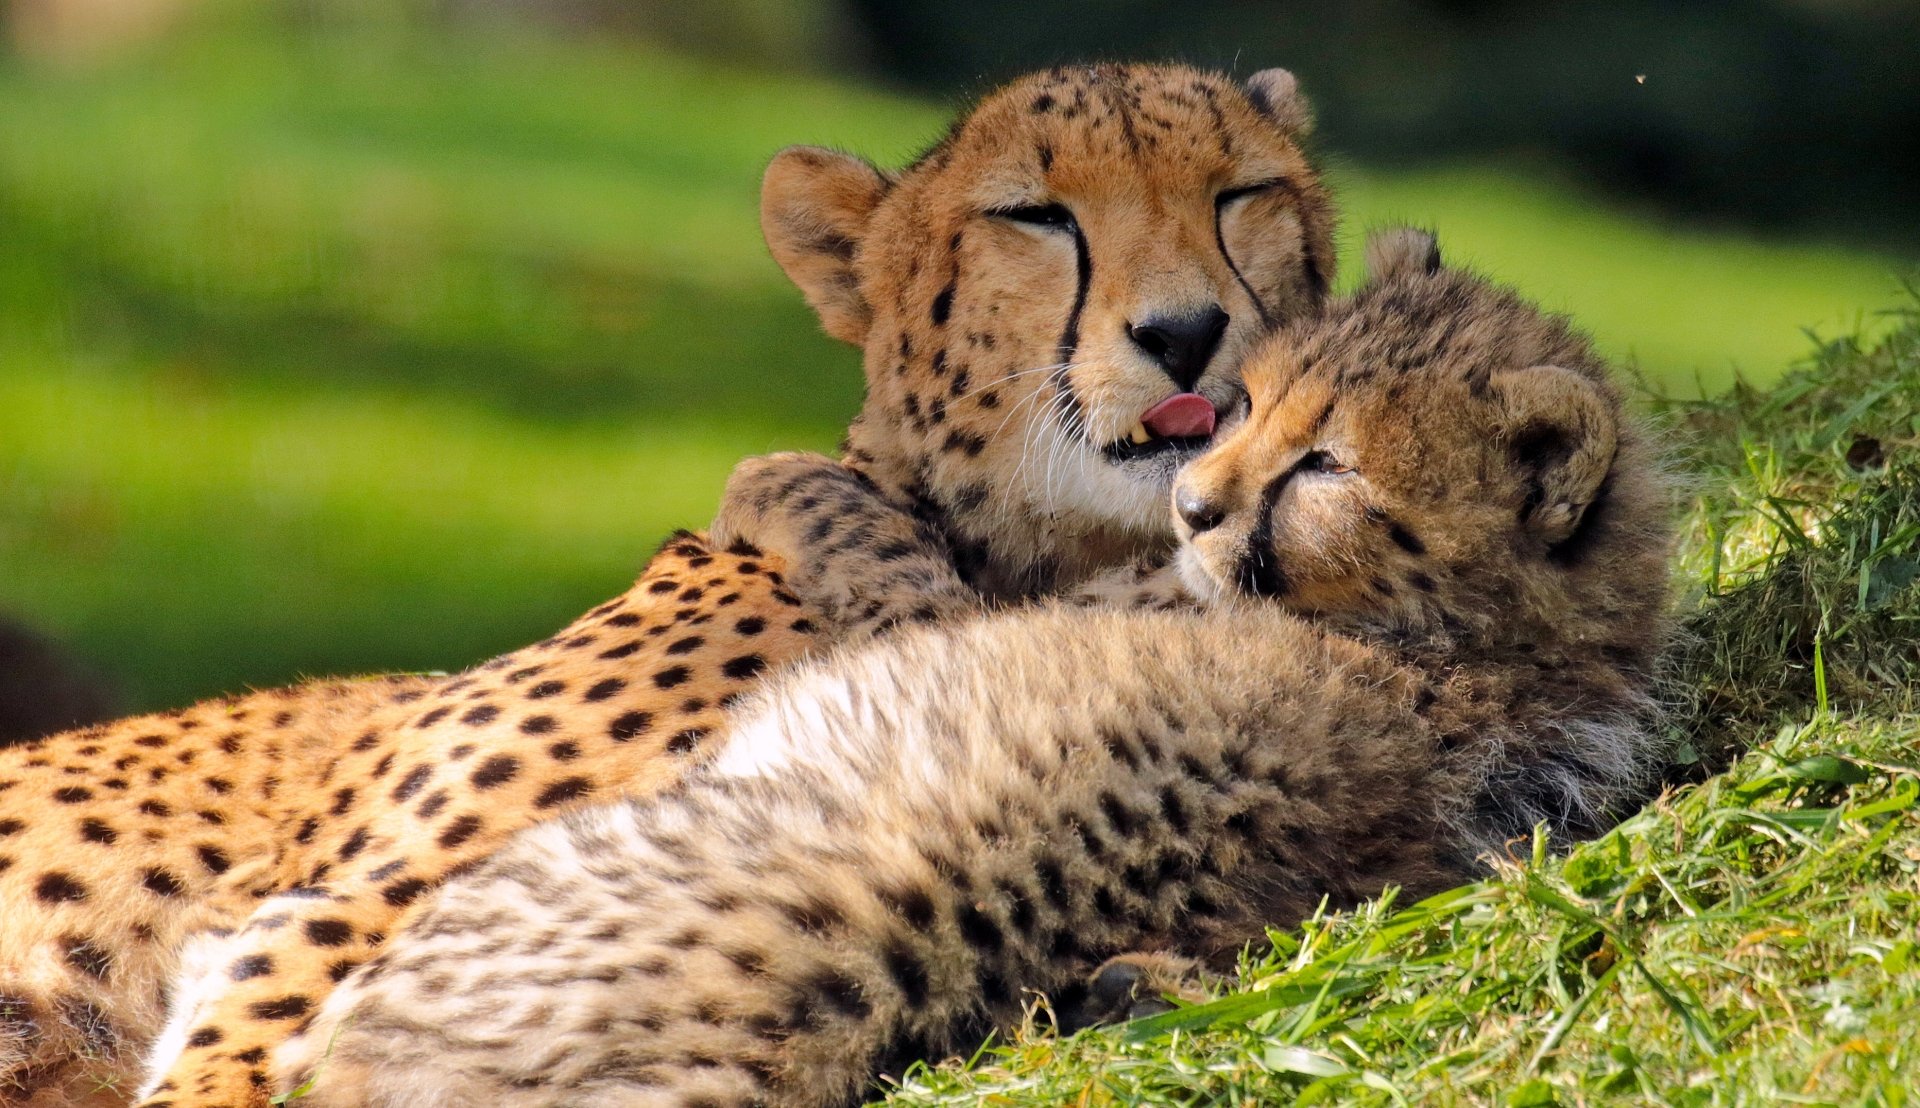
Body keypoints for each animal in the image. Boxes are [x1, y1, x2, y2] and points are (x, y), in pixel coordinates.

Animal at [272, 227, 1676, 1108]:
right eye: (1252, 403)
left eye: (1329, 465)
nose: (1195, 507)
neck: (1491, 643)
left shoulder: (921, 626)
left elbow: (860, 534)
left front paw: (772, 475)